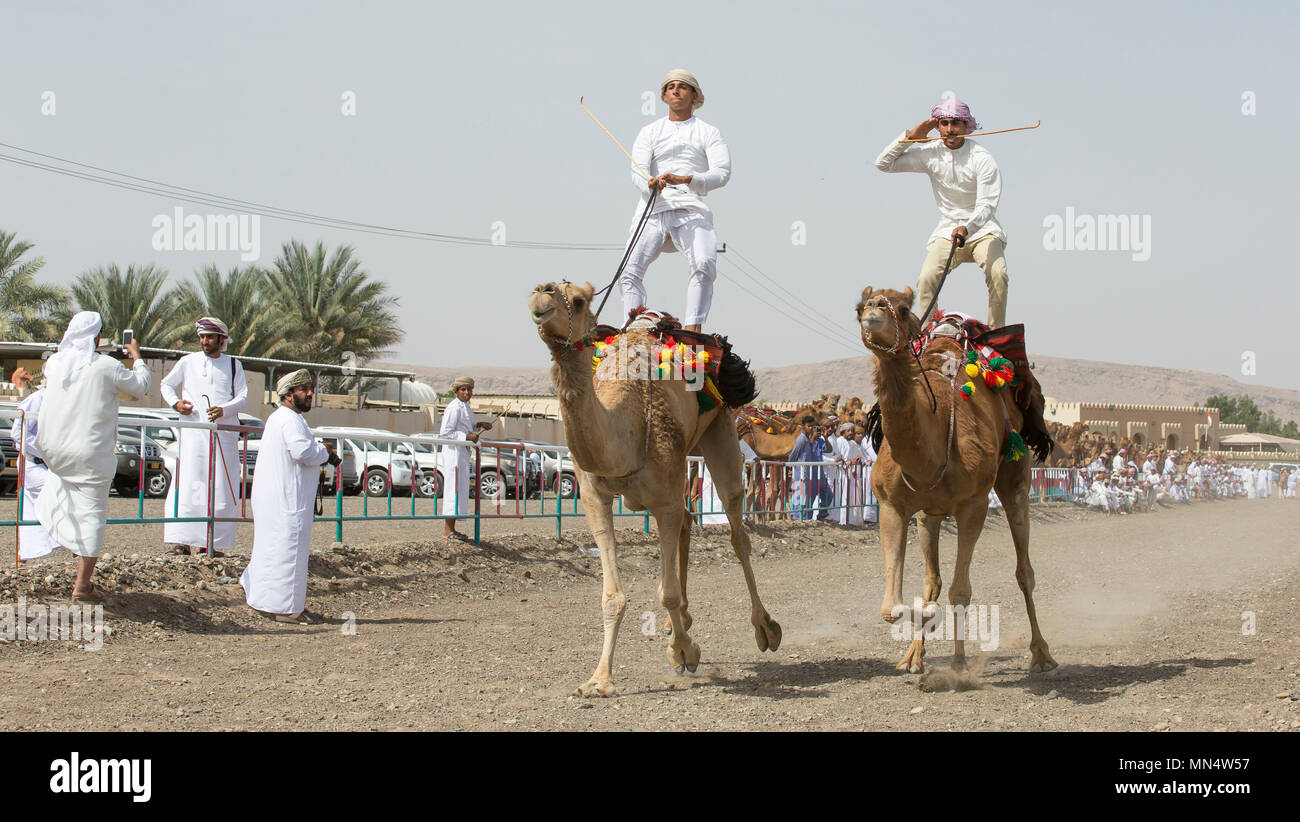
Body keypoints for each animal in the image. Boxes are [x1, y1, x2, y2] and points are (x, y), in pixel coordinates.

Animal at [528, 281, 781, 696]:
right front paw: (599, 680)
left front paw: (683, 653)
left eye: (579, 300)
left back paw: (765, 628)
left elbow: (667, 592)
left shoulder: (663, 499)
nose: (542, 293)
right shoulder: (595, 497)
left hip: (720, 430)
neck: (626, 423)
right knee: (688, 521)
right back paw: (680, 623)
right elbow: (613, 596)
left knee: (736, 532)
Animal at [855, 285, 1057, 674]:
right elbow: (893, 606)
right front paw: (921, 638)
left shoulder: (973, 505)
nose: (874, 310)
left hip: (1015, 477)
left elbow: (961, 591)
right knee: (932, 579)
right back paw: (914, 655)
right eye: (859, 307)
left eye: (904, 309)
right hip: (927, 516)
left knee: (1024, 569)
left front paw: (960, 666)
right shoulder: (892, 505)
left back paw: (1041, 655)